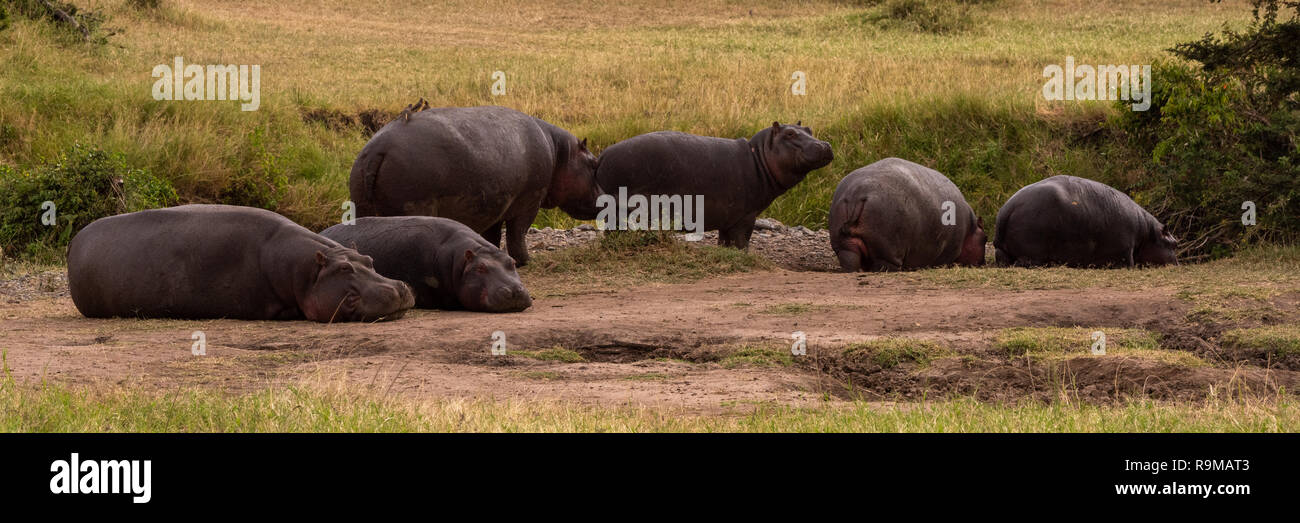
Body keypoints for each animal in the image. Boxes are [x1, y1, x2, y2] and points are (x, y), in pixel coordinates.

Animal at [348, 105, 602, 266]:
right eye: (594, 164)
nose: (605, 197)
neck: (561, 152)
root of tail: (378, 149)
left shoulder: (496, 205)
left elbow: (492, 236)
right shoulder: (529, 202)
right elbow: (517, 234)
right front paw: (525, 261)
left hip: (362, 205)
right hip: (413, 206)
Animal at [593, 122, 833, 248]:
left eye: (809, 129)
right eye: (790, 133)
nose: (824, 145)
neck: (760, 157)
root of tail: (602, 156)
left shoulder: (728, 219)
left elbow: (725, 242)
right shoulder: (745, 217)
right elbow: (741, 242)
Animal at [829, 158, 986, 271]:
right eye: (985, 238)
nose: (983, 263)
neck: (971, 228)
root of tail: (858, 193)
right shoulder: (950, 249)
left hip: (844, 245)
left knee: (850, 259)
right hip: (887, 250)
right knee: (885, 265)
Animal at [994, 175, 1178, 268]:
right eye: (1174, 243)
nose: (1177, 264)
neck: (1148, 233)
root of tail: (1006, 209)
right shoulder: (1125, 248)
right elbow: (1128, 262)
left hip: (1003, 251)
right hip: (1031, 252)